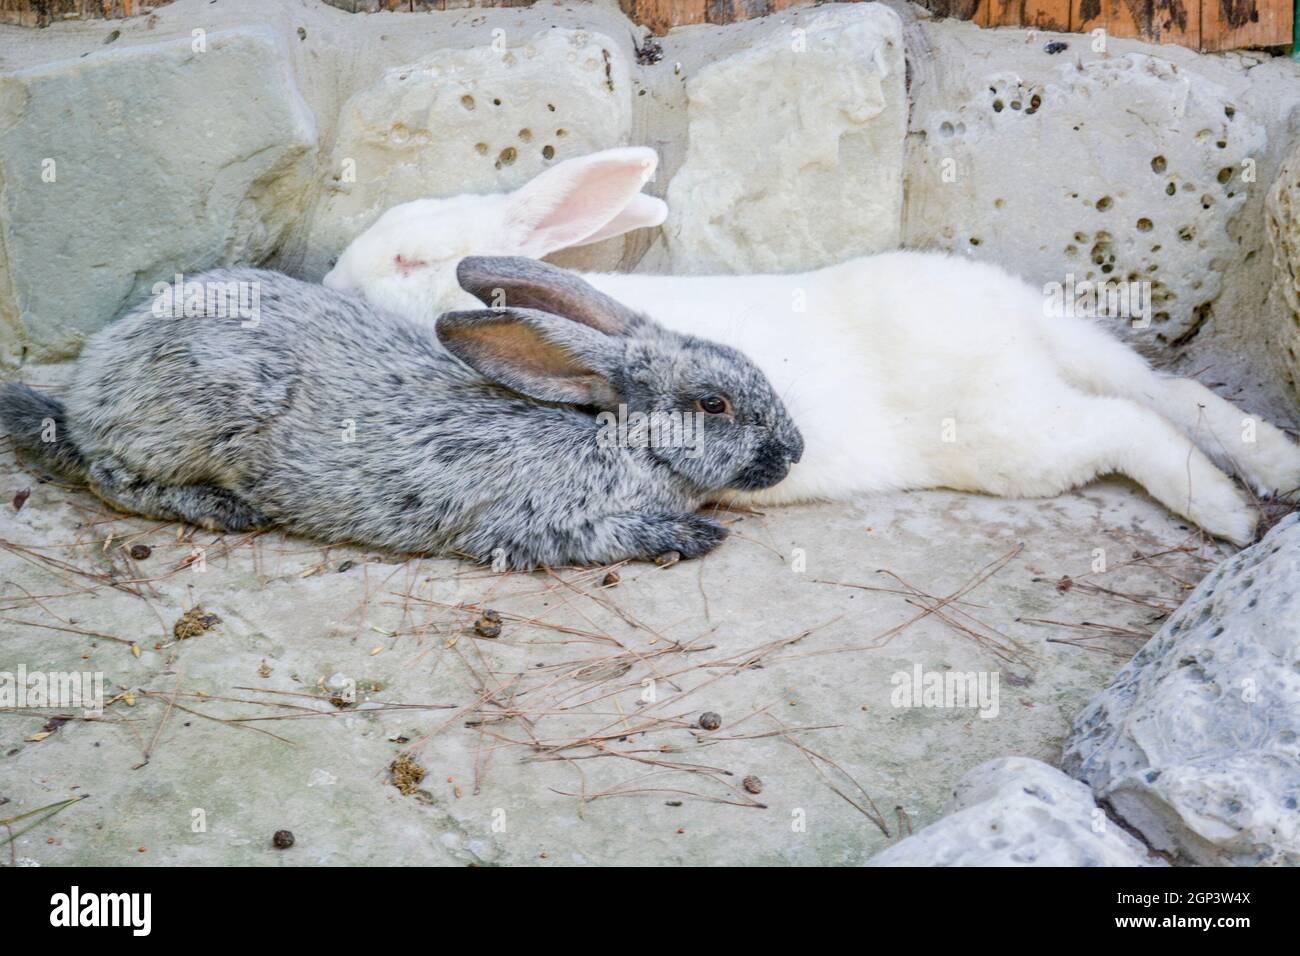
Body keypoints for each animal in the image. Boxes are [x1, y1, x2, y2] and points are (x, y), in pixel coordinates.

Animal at [0, 257, 803, 570]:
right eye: (713, 404)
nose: (795, 451)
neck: (612, 433)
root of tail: (90, 389)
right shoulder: (540, 525)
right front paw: (697, 534)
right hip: (197, 415)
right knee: (109, 474)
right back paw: (222, 509)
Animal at [322, 148, 1300, 547]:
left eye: (407, 258)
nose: (331, 280)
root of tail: (1021, 328)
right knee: (1168, 395)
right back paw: (1274, 468)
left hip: (1015, 438)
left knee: (1126, 426)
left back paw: (1227, 513)